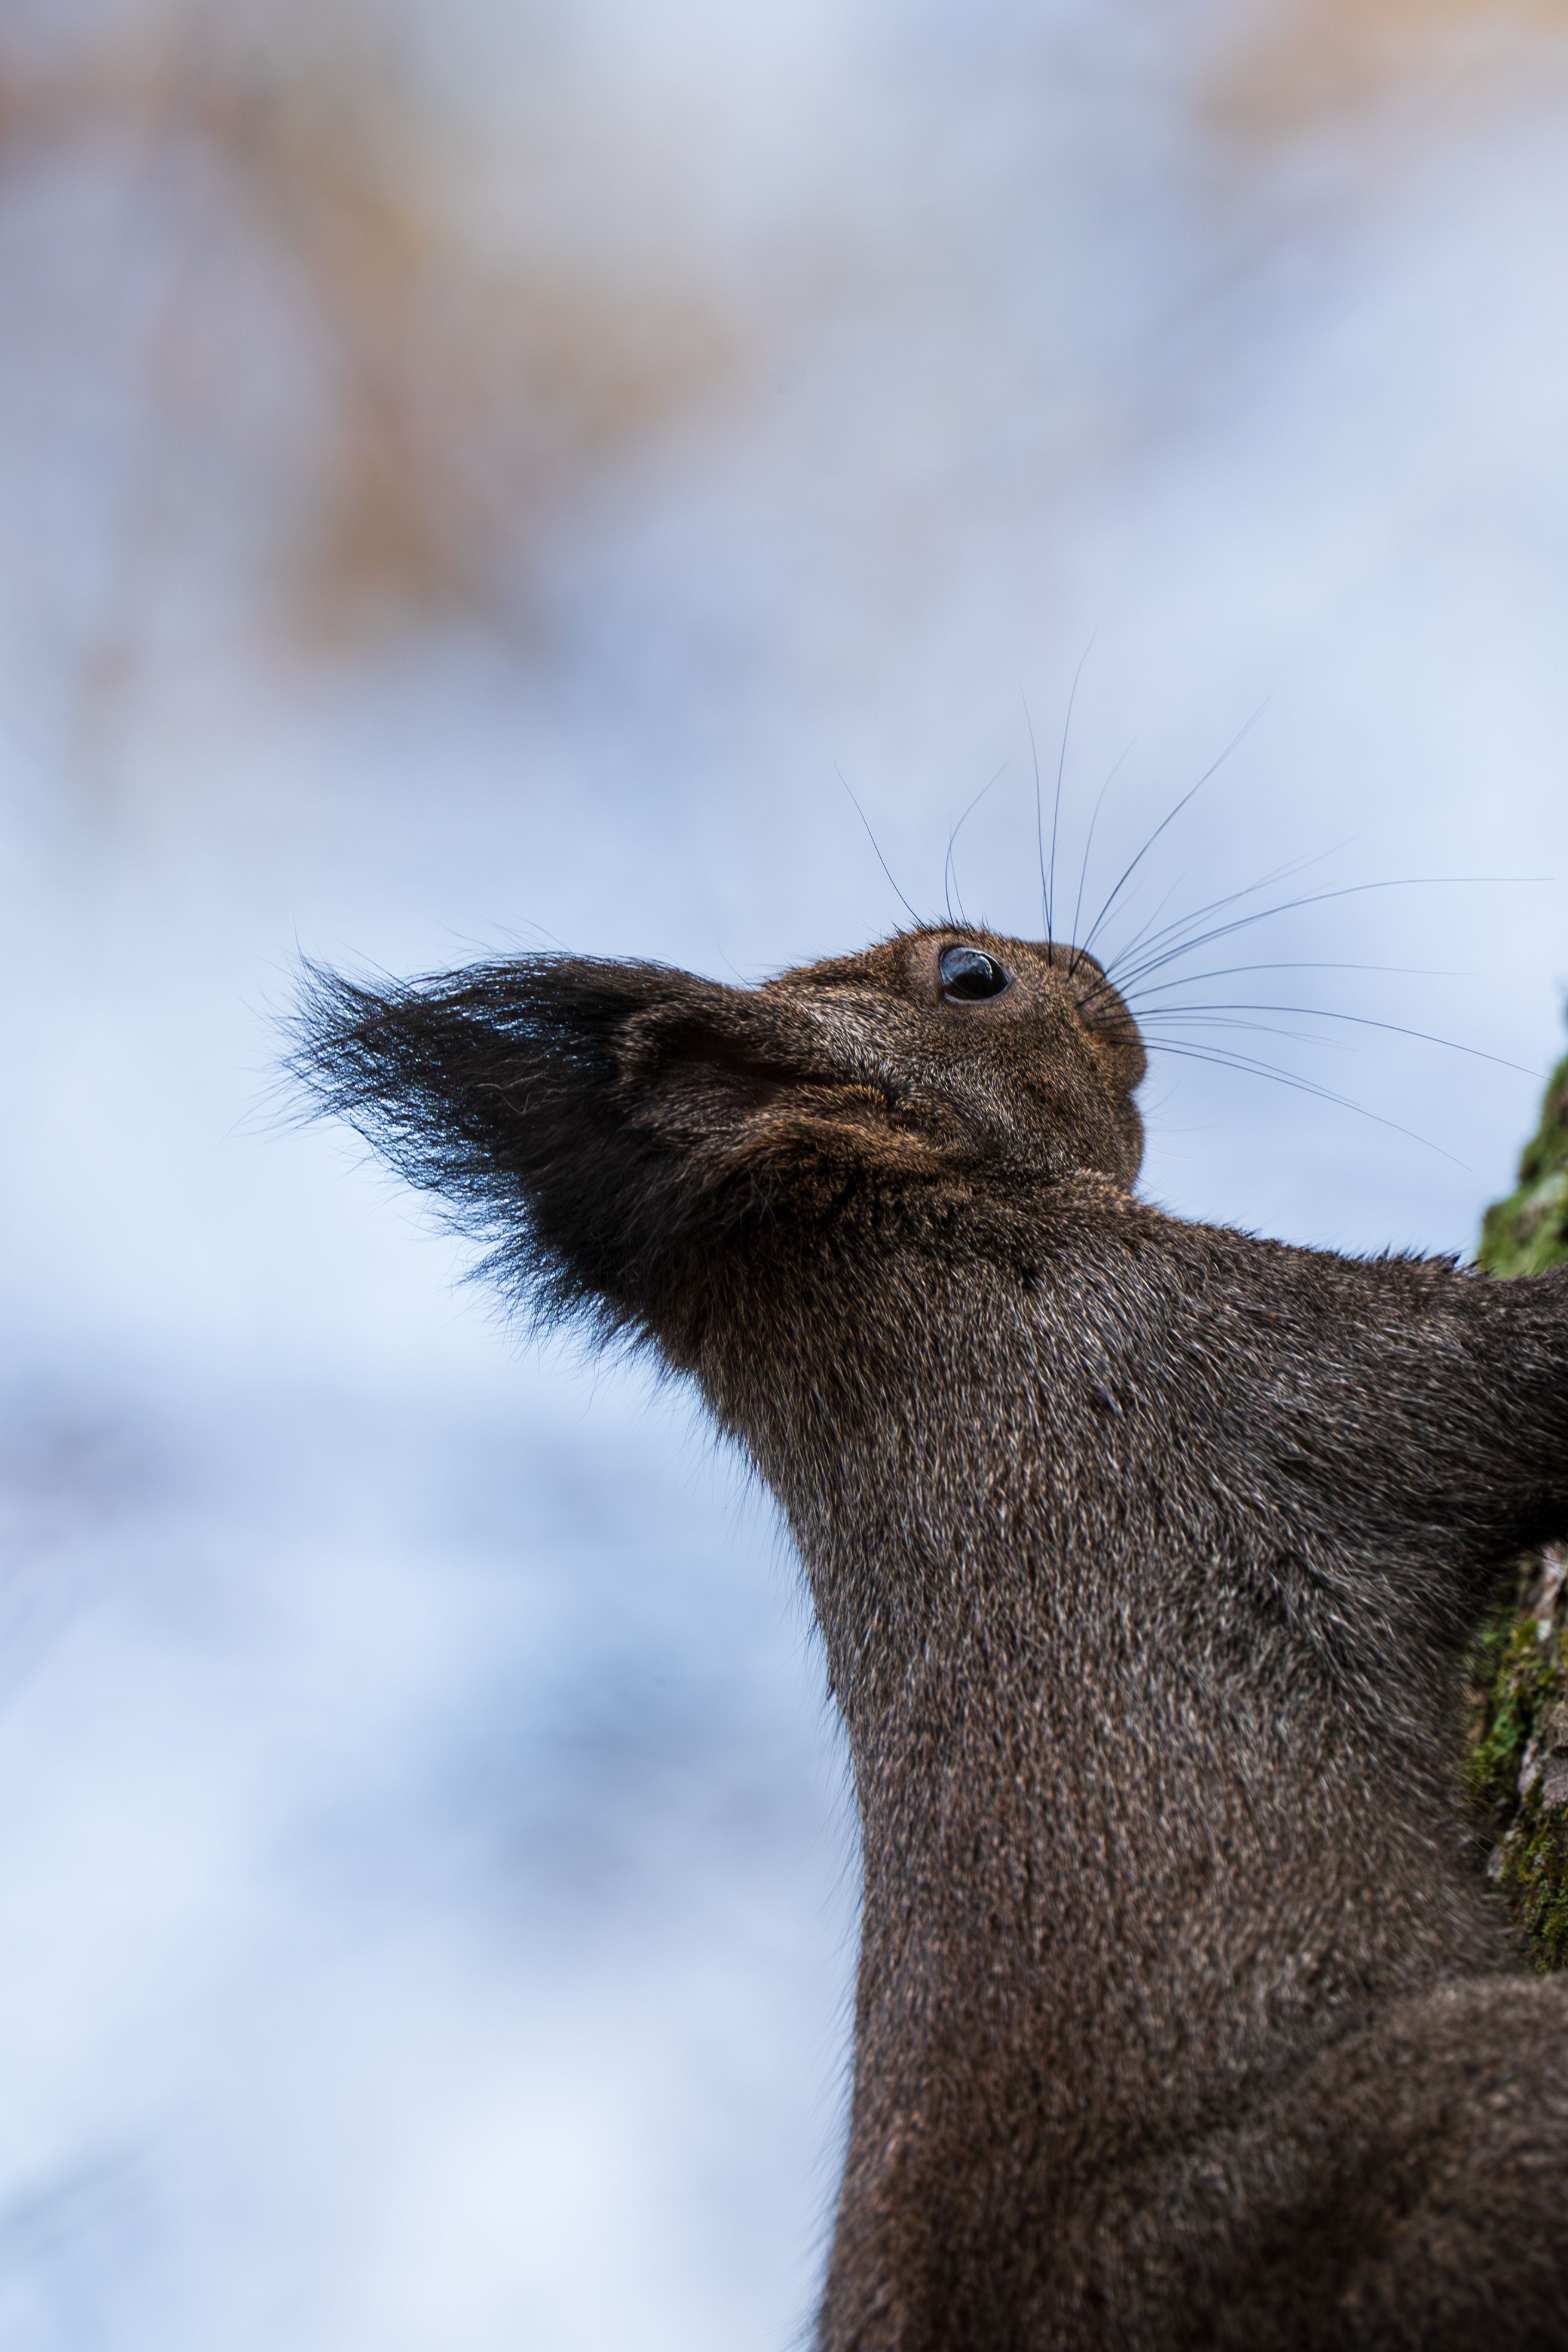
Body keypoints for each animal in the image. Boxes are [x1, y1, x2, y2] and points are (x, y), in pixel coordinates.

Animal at [294, 923, 1568, 2350]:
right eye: (970, 976)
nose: (1092, 974)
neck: (905, 1252)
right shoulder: (1246, 1351)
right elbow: (1511, 1362)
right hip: (1434, 2139)